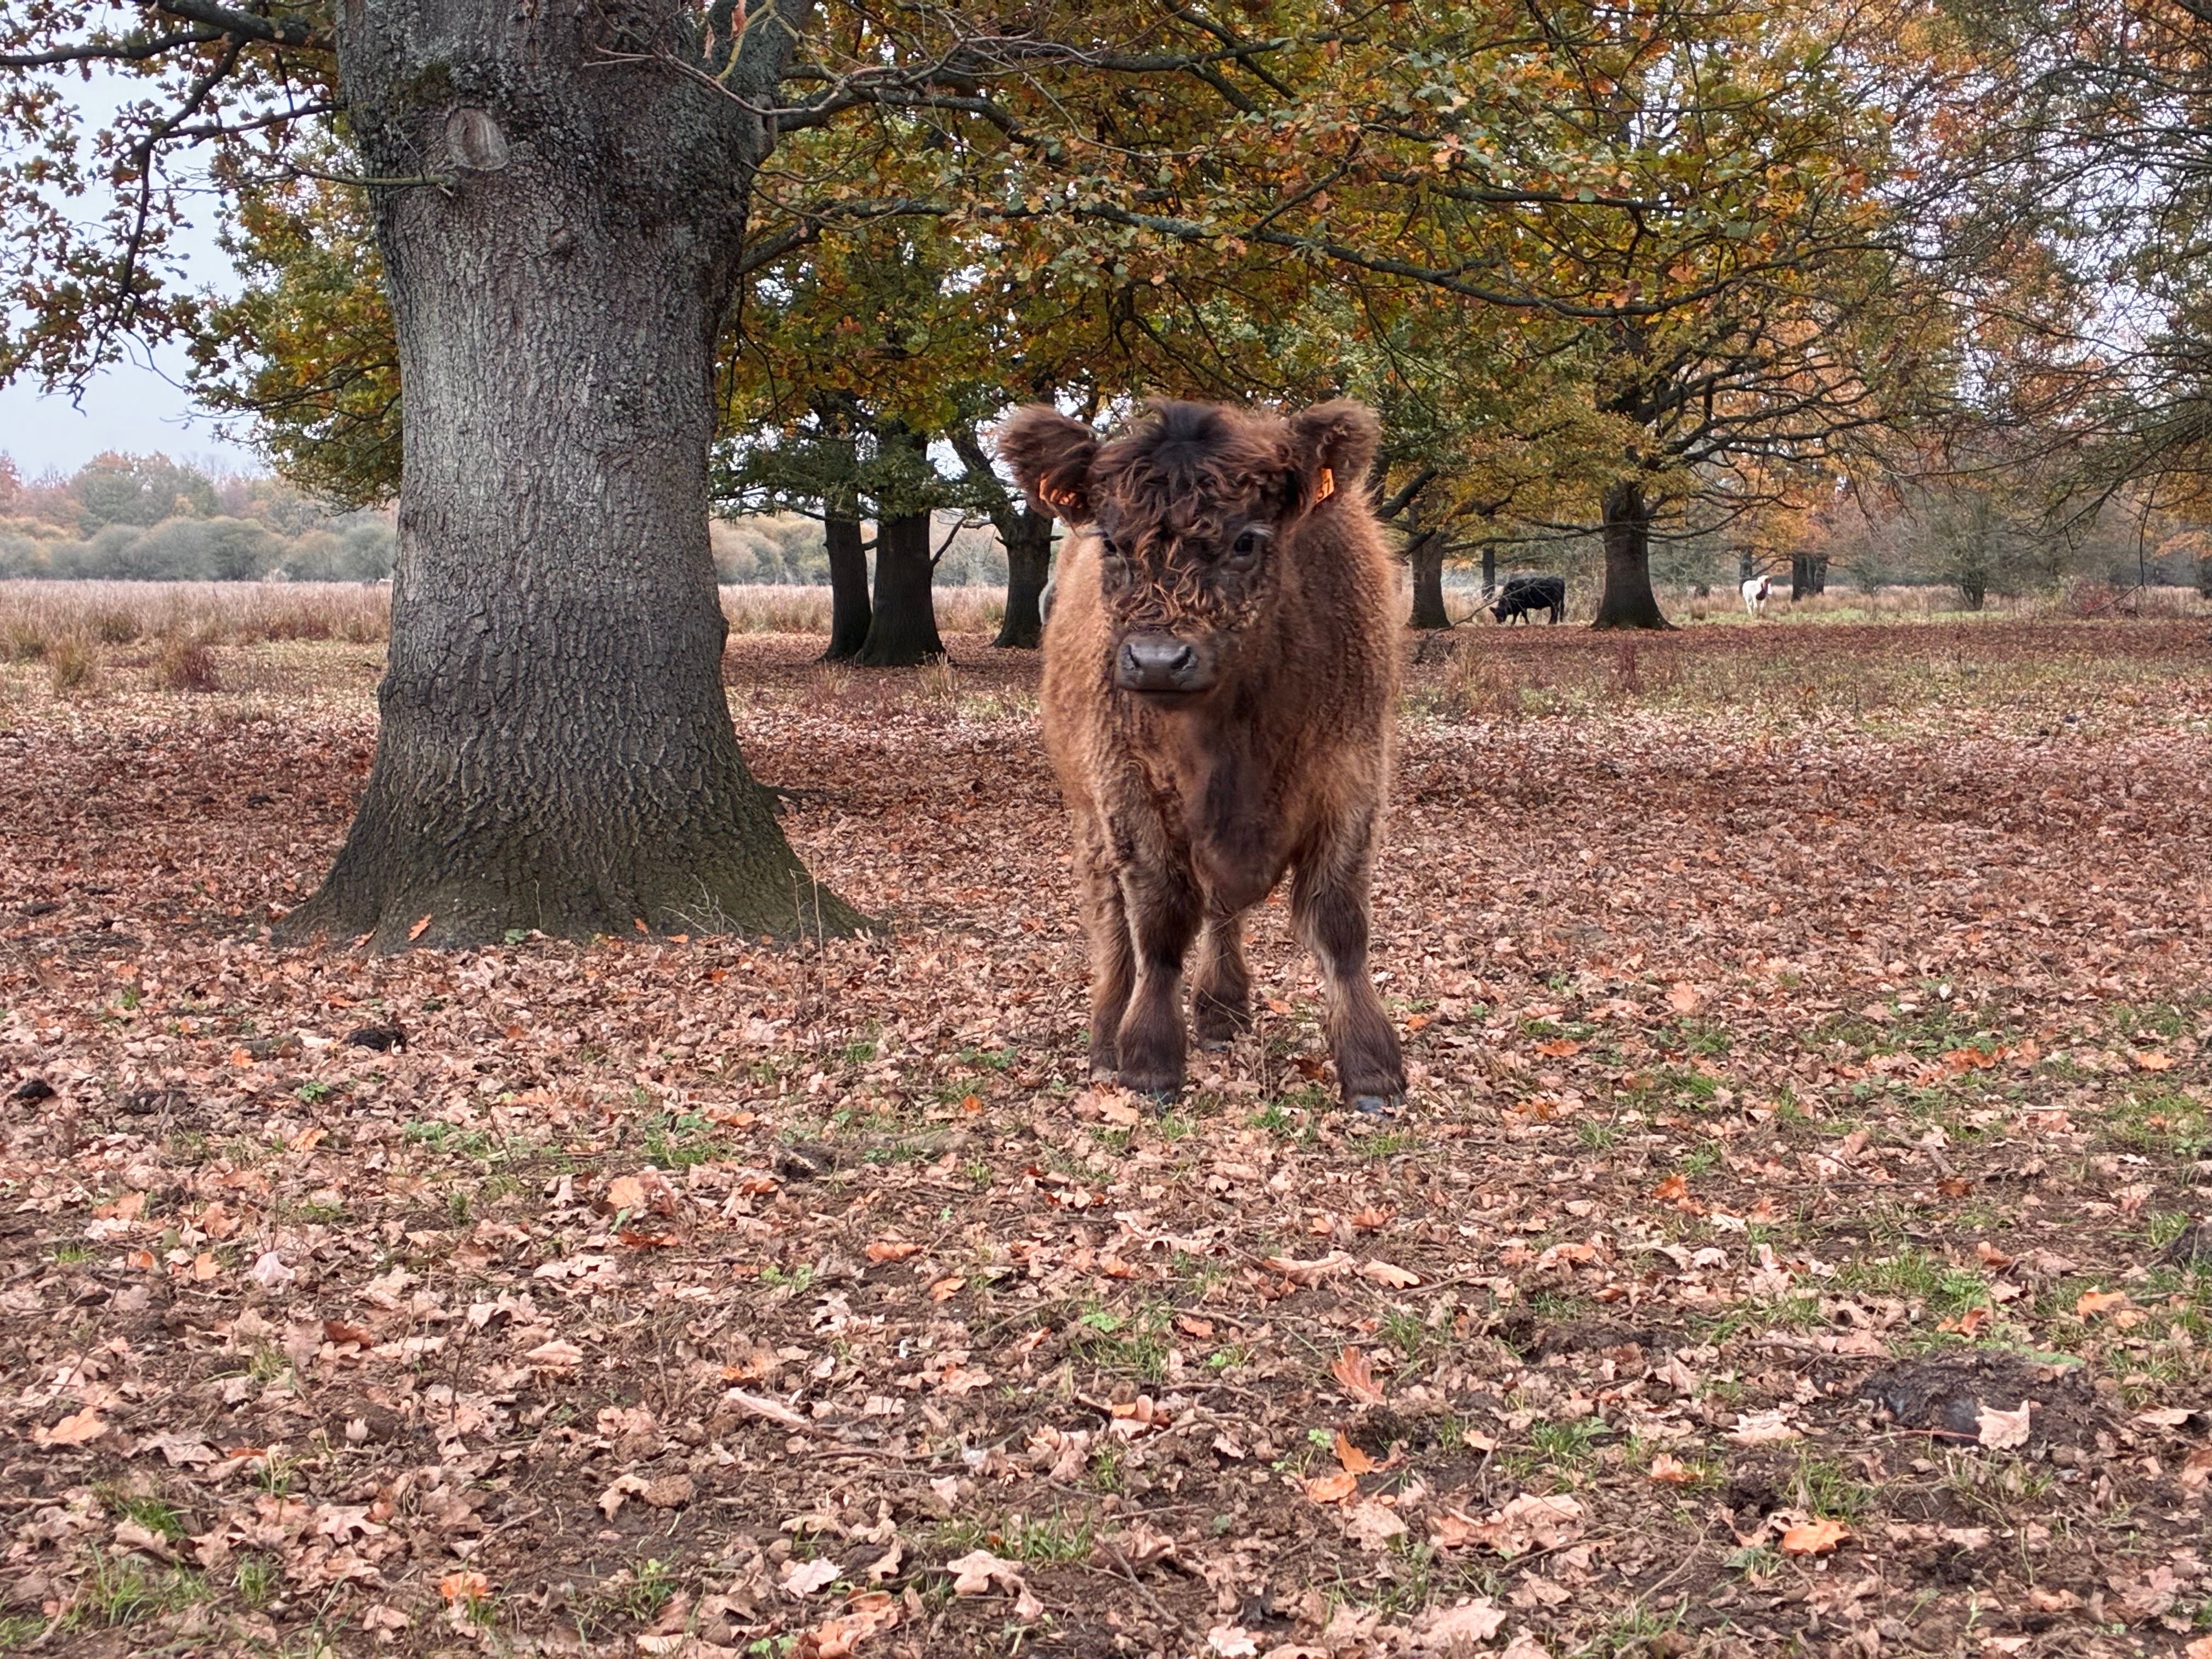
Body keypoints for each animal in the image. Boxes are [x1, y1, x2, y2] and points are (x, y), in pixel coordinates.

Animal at [998, 399, 1407, 1114]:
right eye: (1112, 541)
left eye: (1247, 540)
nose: (1158, 660)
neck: (1233, 733)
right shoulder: (1130, 794)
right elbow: (1159, 923)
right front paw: (1148, 1061)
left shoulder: (1351, 781)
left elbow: (1339, 925)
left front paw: (1372, 1072)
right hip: (1088, 817)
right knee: (1114, 927)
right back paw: (1108, 1034)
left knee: (1220, 911)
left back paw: (1220, 1012)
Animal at [1489, 573, 1565, 625]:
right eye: (1496, 614)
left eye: (1502, 613)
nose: (1499, 622)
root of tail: (1560, 580)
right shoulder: (1518, 608)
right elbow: (1516, 616)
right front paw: (1512, 623)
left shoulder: (1522, 606)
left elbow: (1524, 615)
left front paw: (1527, 623)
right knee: (1556, 611)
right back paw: (1554, 623)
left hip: (1554, 603)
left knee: (1555, 611)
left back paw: (1551, 623)